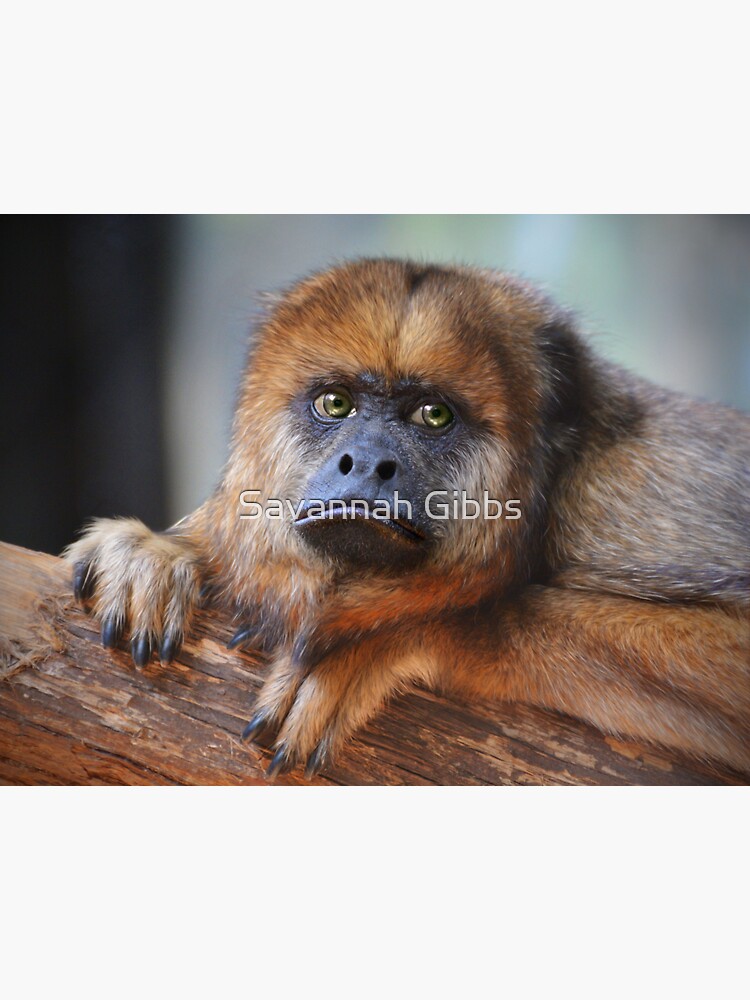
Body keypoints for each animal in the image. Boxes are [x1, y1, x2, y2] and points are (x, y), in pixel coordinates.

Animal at [64, 259, 750, 779]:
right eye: (335, 403)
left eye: (433, 415)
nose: (367, 463)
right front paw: (167, 549)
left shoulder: (627, 496)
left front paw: (377, 636)